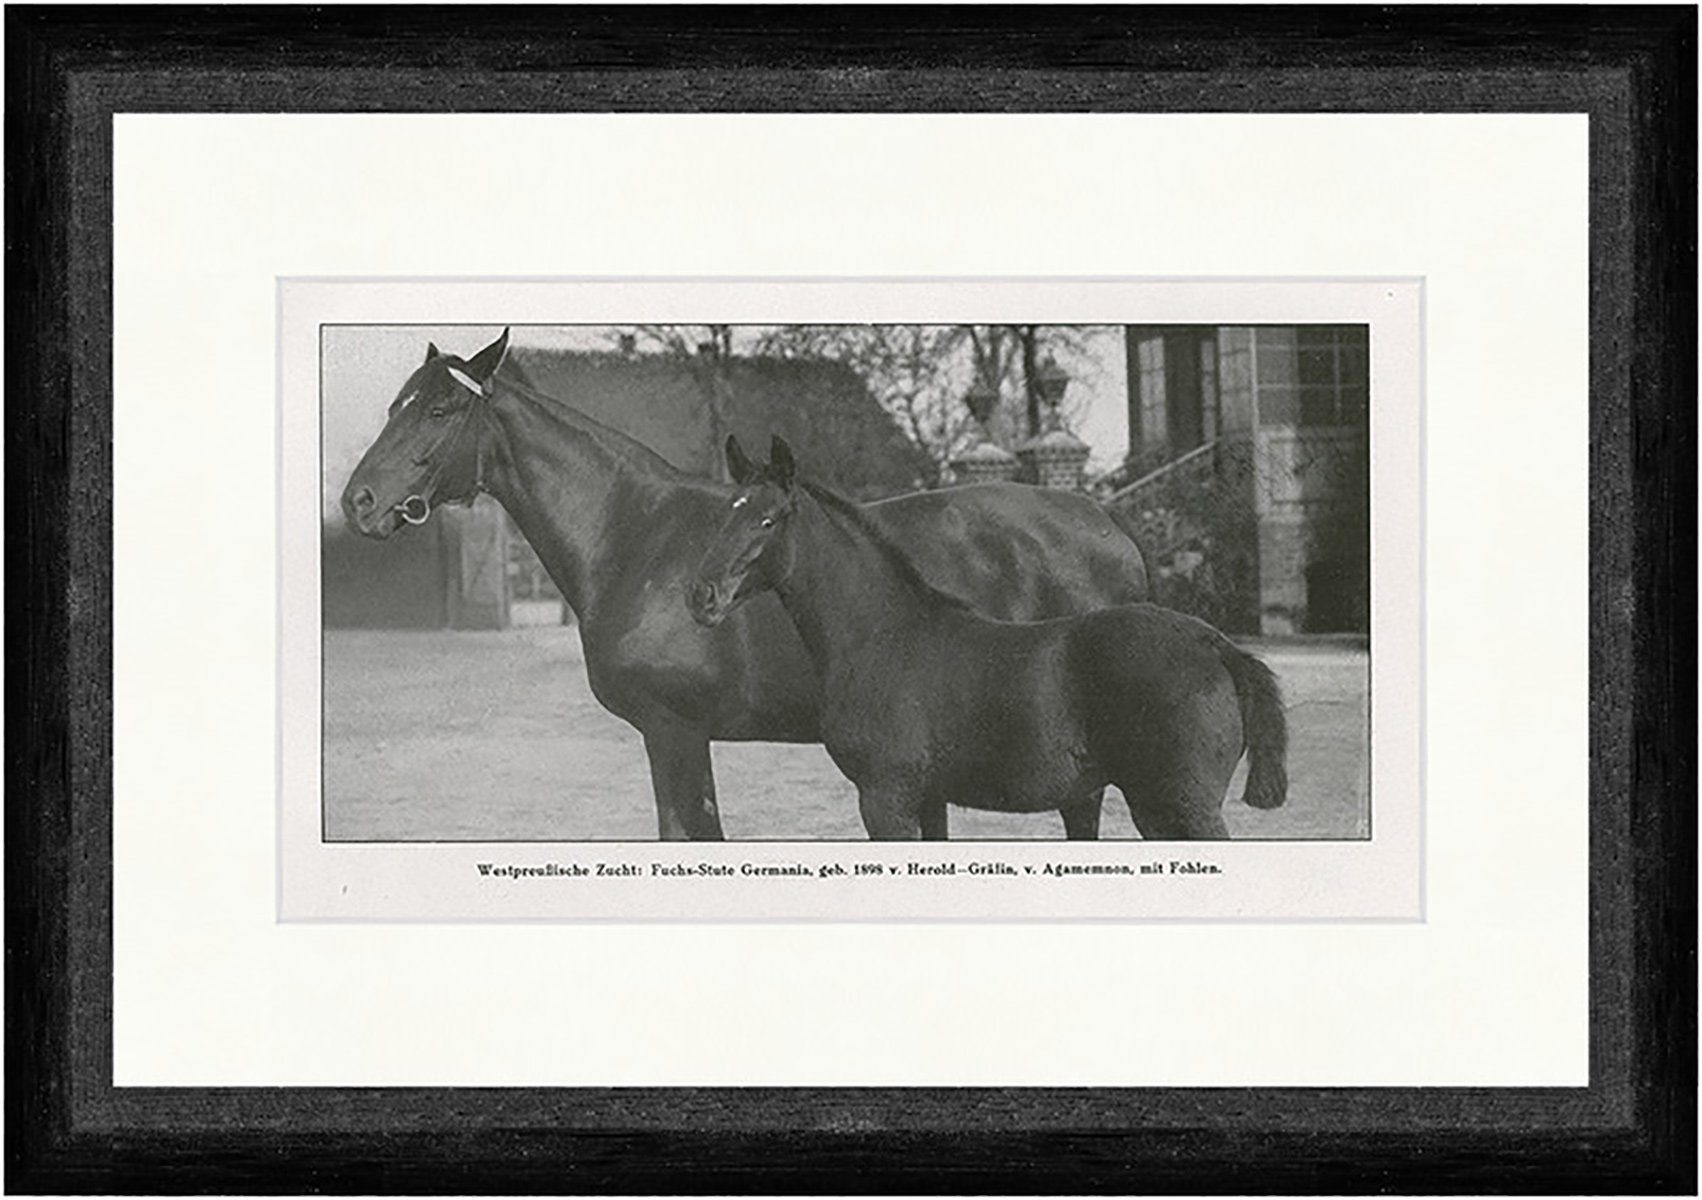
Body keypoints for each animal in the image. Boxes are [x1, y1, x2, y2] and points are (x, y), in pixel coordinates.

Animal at [339, 328, 1153, 840]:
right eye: (394, 406)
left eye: (440, 408)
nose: (360, 502)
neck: (635, 534)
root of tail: (1107, 525)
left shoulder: (673, 732)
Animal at [686, 435, 1288, 840]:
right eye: (723, 516)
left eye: (769, 520)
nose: (701, 596)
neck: (881, 635)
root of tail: (1219, 647)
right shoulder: (926, 798)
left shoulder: (885, 797)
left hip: (1182, 805)